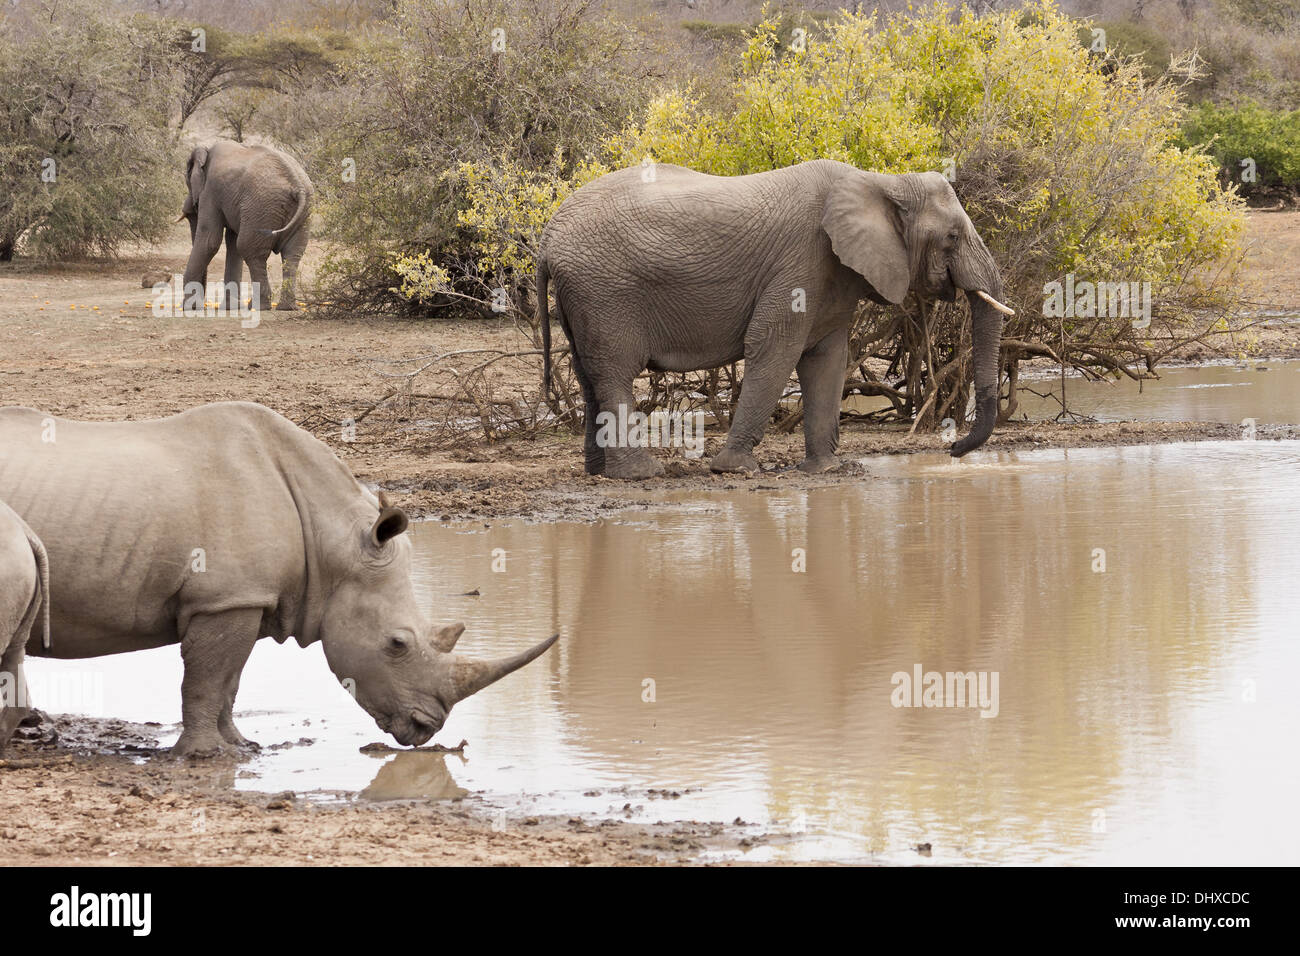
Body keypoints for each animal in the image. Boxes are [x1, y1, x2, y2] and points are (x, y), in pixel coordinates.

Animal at [0, 402, 556, 756]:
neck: (334, 538)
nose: (426, 728)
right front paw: (203, 756)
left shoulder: (249, 598)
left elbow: (229, 679)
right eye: (397, 644)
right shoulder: (225, 597)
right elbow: (205, 679)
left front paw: (241, 745)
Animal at [181, 140, 314, 312]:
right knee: (291, 254)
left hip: (261, 206)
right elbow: (231, 244)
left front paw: (187, 308)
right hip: (301, 212)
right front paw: (229, 308)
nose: (200, 305)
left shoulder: (210, 191)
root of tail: (297, 185)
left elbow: (210, 241)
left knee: (250, 250)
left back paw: (259, 307)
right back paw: (286, 308)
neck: (206, 149)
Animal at [537, 159, 1014, 479]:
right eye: (952, 237)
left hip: (584, 297)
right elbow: (774, 347)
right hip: (604, 291)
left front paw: (825, 470)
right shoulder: (800, 262)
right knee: (615, 372)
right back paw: (642, 473)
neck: (881, 180)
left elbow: (827, 359)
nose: (952, 448)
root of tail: (547, 237)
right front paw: (735, 469)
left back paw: (598, 472)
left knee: (590, 375)